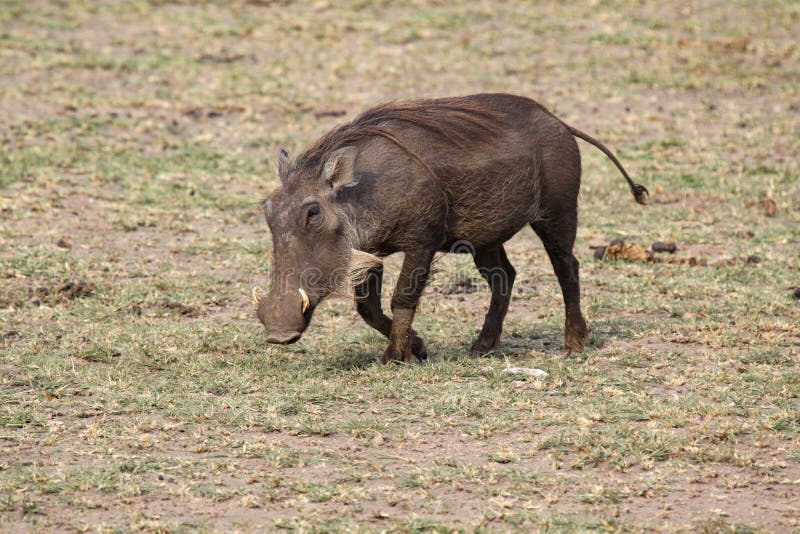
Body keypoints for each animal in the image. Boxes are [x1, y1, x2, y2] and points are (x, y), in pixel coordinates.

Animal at [255, 93, 648, 363]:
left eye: (313, 212)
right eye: (267, 209)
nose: (277, 333)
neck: (360, 191)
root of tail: (559, 121)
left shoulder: (421, 240)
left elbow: (402, 298)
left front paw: (395, 358)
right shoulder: (365, 250)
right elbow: (368, 308)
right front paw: (418, 347)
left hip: (558, 212)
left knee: (567, 268)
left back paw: (573, 345)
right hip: (486, 237)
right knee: (503, 276)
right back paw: (481, 347)